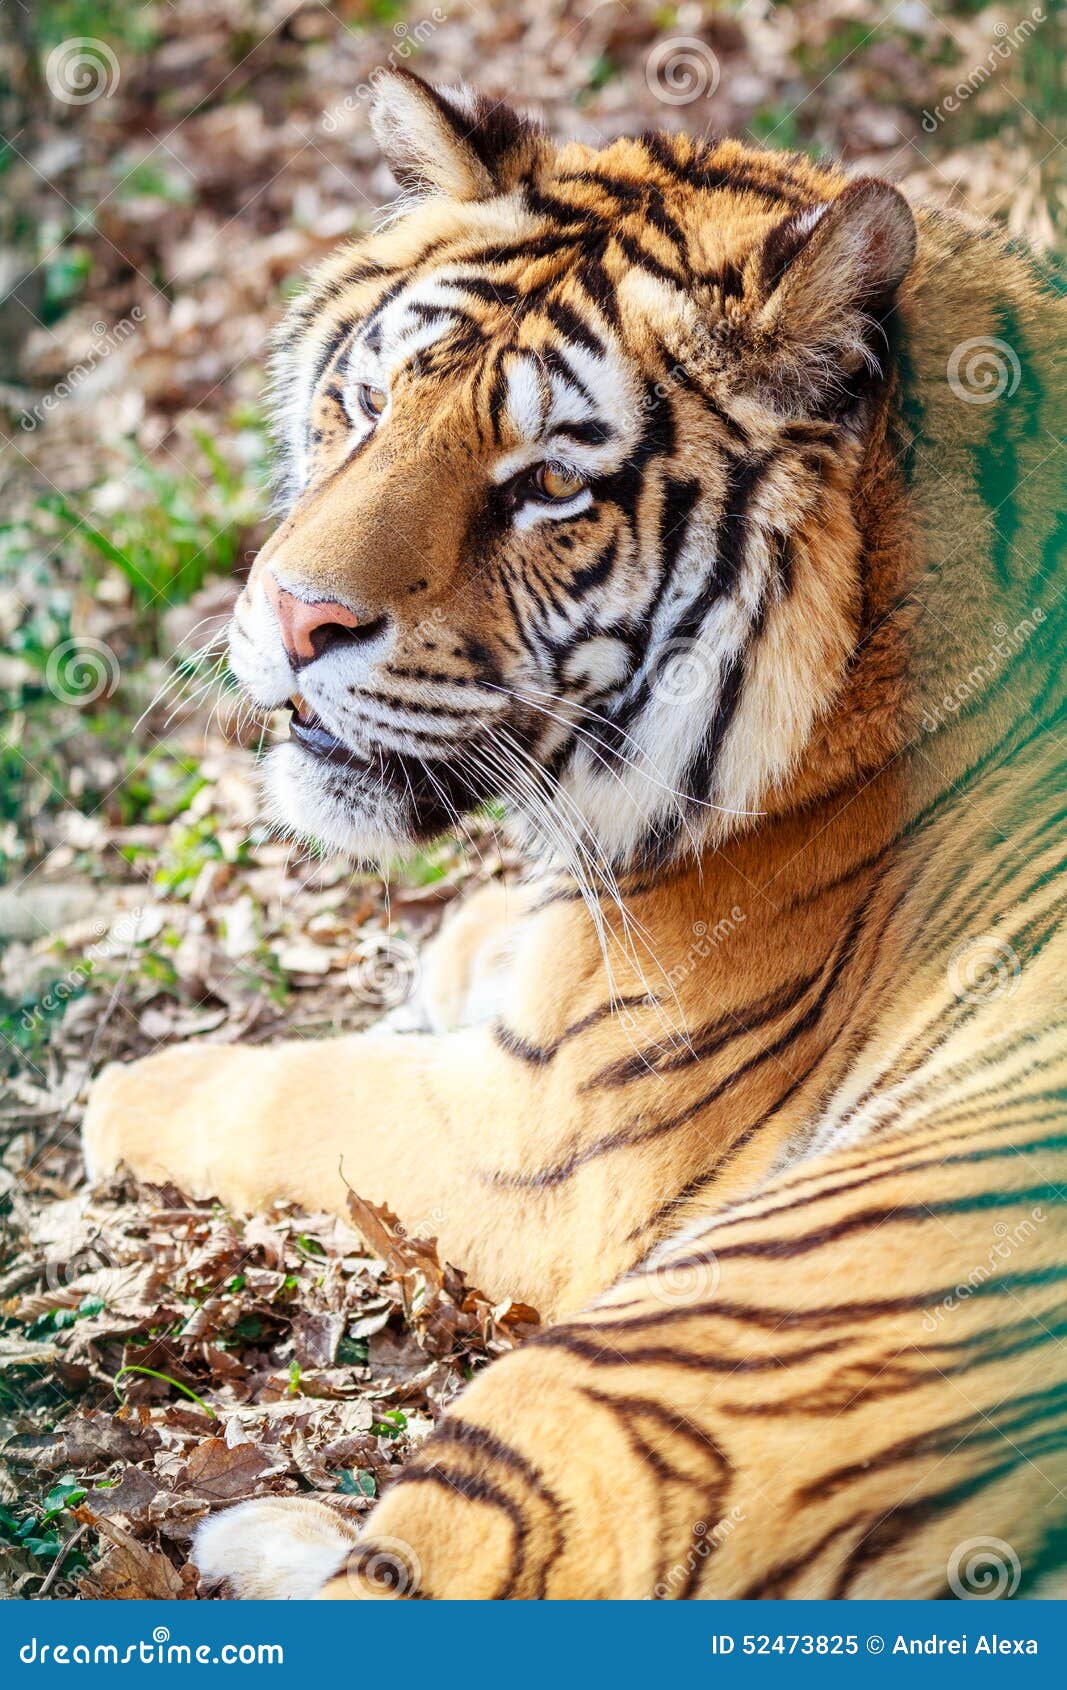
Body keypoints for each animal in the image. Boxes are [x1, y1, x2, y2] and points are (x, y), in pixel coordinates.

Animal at [82, 69, 1067, 1601]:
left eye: (549, 484)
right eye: (366, 401)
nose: (293, 618)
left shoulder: (531, 1147)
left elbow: (295, 1090)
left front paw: (127, 1092)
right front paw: (464, 949)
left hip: (649, 1363)